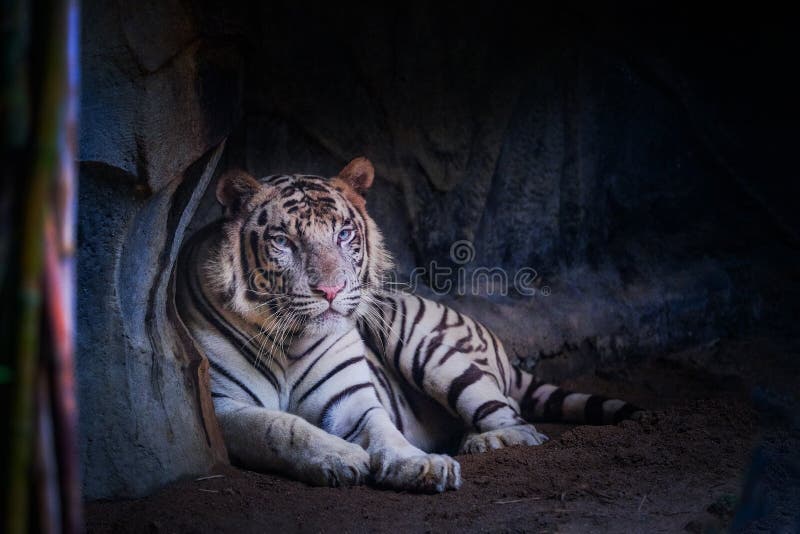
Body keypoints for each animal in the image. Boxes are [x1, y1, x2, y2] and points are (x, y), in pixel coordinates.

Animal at [175, 157, 642, 493]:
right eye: (282, 241)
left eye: (344, 235)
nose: (331, 290)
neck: (290, 341)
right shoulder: (219, 405)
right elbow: (280, 426)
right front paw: (342, 457)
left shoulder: (351, 400)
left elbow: (383, 429)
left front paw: (420, 464)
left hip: (424, 347)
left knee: (518, 421)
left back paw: (483, 442)